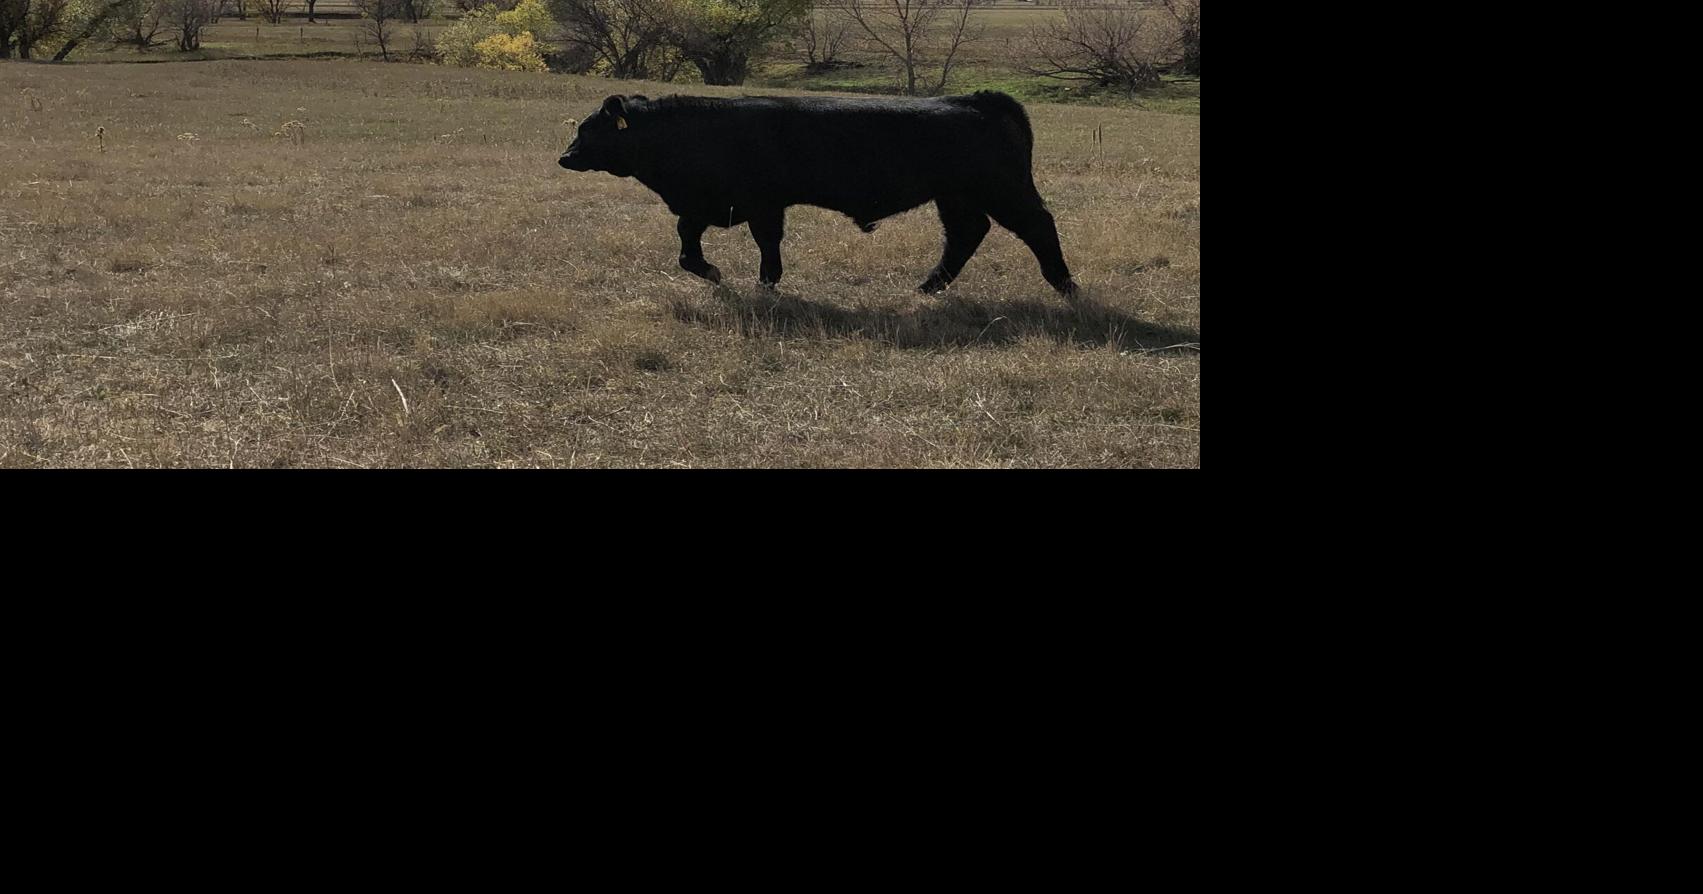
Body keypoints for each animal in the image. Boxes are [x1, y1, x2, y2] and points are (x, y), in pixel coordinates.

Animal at [558, 92, 1078, 298]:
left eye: (589, 129)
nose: (564, 156)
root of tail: (979, 99)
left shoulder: (758, 203)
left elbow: (764, 242)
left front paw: (759, 282)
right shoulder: (707, 203)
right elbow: (688, 240)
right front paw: (715, 271)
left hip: (1001, 189)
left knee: (1037, 225)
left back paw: (1065, 285)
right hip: (956, 197)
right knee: (966, 235)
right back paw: (928, 286)